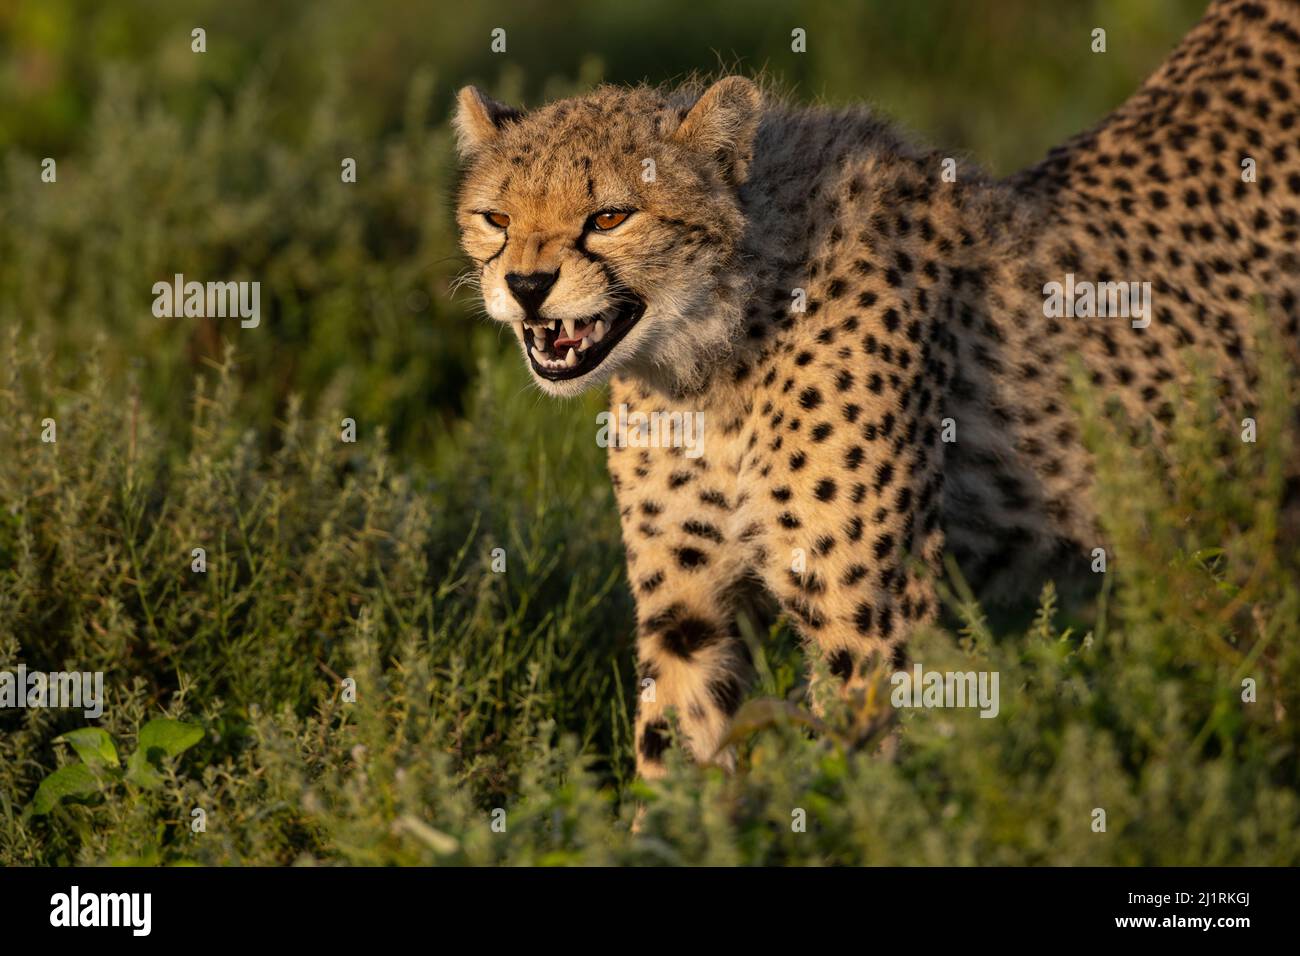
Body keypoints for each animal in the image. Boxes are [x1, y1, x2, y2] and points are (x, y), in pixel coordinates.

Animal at [453, 0, 1300, 783]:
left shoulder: (866, 620)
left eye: (610, 216)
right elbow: (678, 755)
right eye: (495, 218)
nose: (526, 286)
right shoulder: (688, 604)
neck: (708, 356)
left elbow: (859, 786)